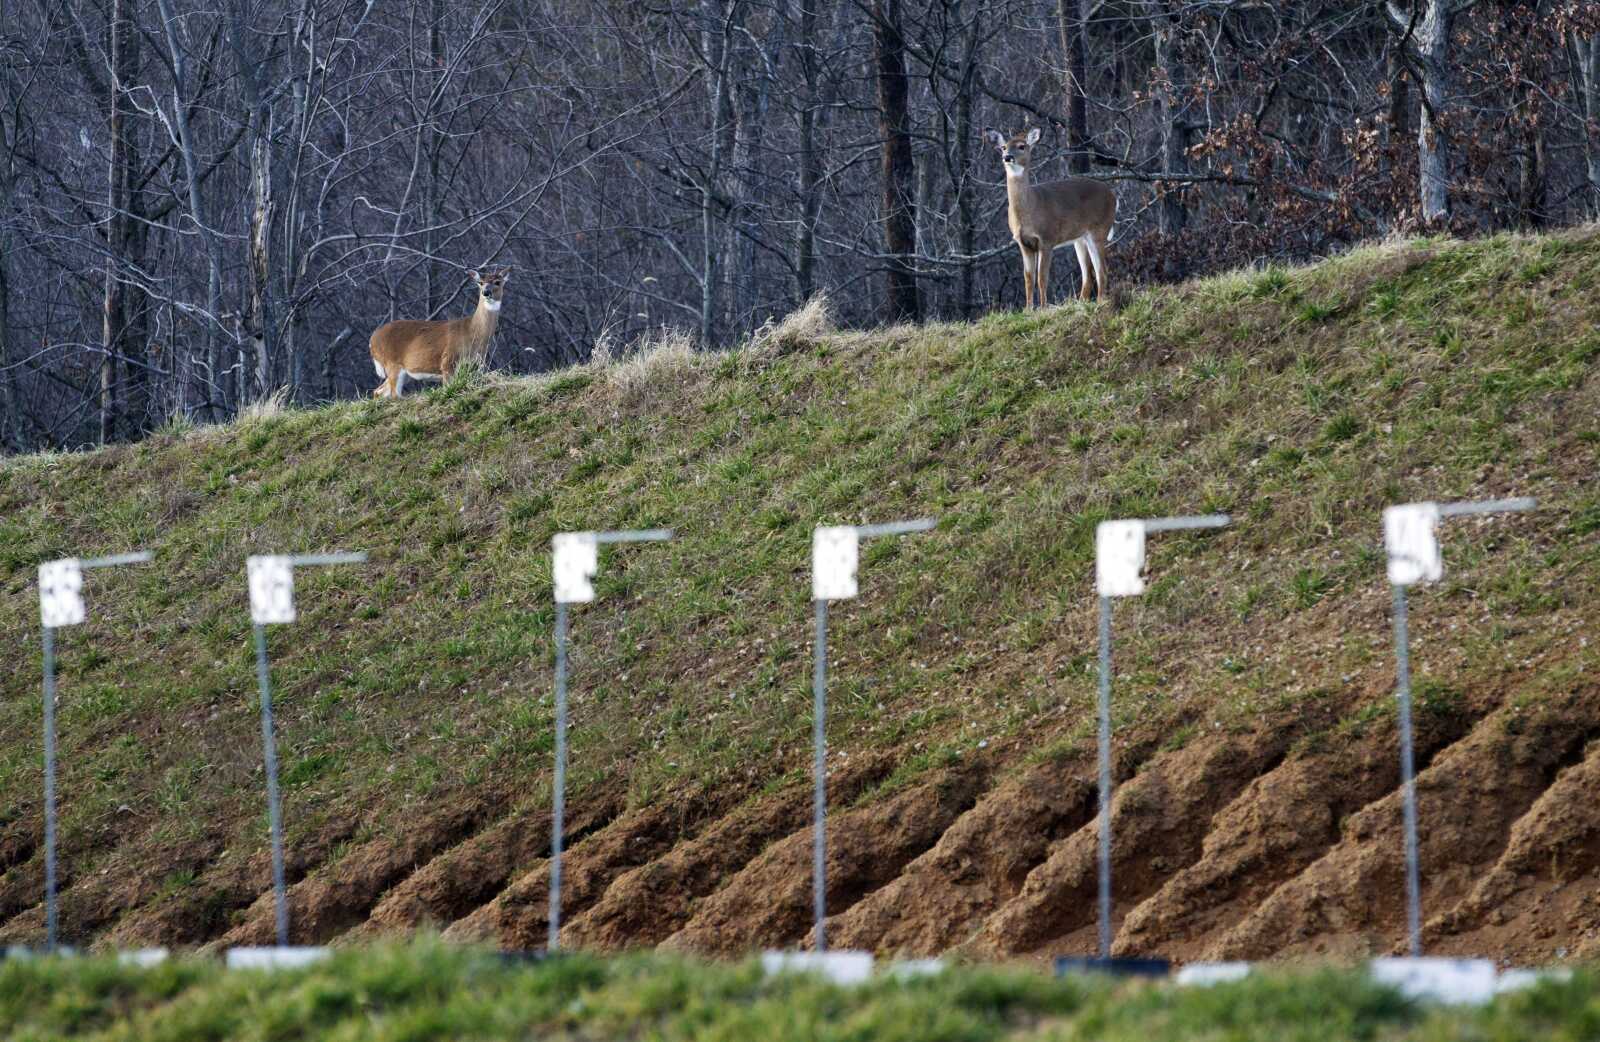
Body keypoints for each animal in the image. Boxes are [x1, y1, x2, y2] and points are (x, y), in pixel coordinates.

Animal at [369, 268, 509, 398]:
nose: (486, 292)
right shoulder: (448, 362)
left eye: (497, 282)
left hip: (405, 372)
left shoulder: (476, 366)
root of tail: (372, 340)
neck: (472, 332)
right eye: (480, 282)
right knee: (394, 395)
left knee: (378, 391)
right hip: (392, 363)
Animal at [983, 126, 1116, 308]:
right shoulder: (1023, 242)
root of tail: (1113, 196)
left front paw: (1043, 307)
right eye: (1003, 147)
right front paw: (1028, 309)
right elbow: (1028, 278)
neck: (1030, 209)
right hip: (1080, 239)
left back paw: (1101, 303)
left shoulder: (1047, 238)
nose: (1007, 157)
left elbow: (1042, 277)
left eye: (1022, 146)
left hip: (1099, 229)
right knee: (1089, 275)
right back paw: (1082, 304)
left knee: (1102, 270)